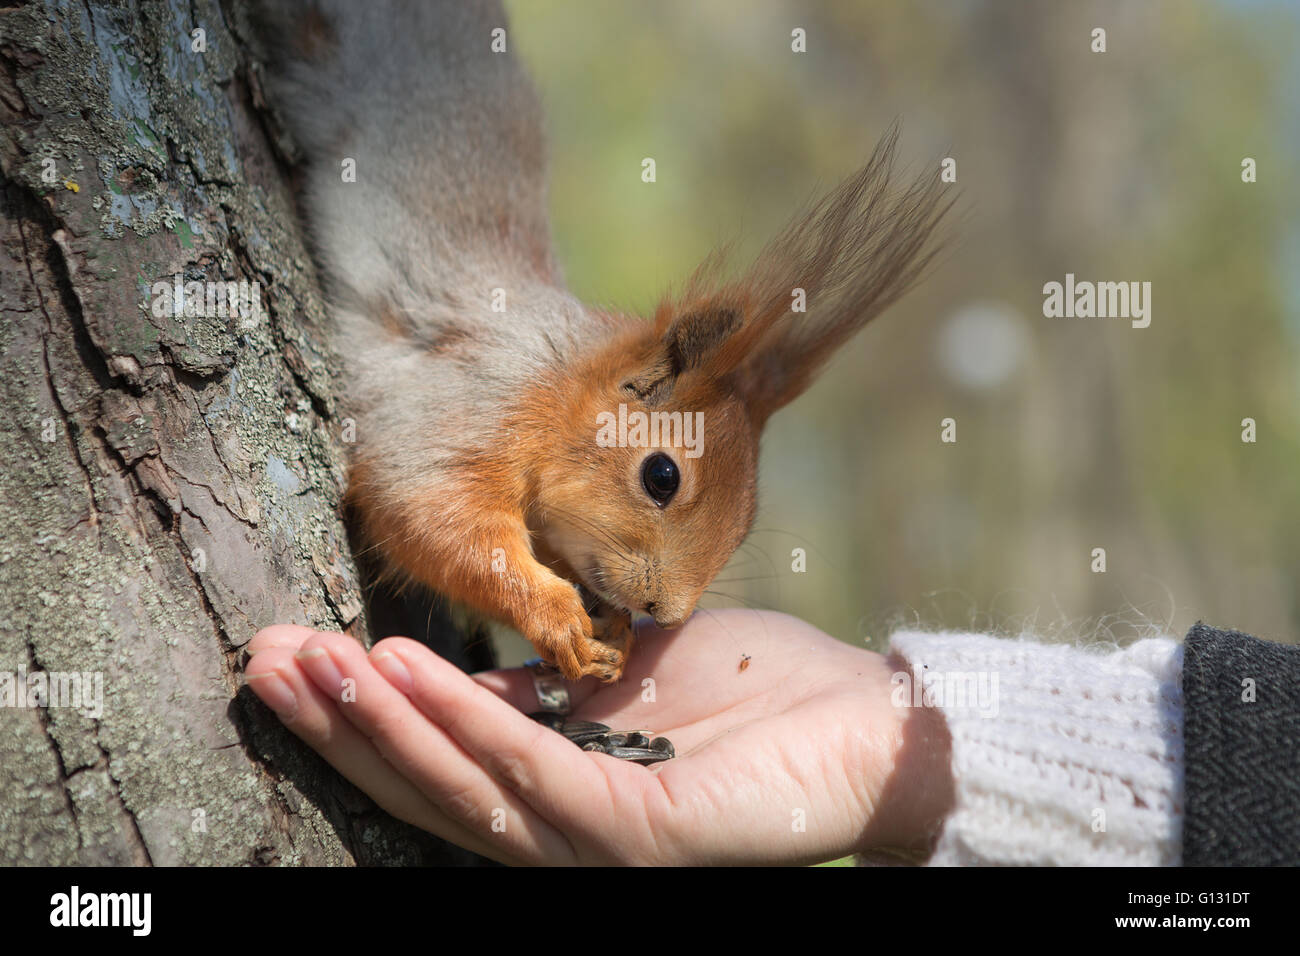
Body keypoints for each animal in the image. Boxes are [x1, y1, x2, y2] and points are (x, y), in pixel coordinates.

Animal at [261, 0, 950, 682]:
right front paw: (555, 616)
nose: (664, 614)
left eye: (747, 524)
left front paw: (611, 627)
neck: (559, 377)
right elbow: (429, 508)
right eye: (662, 476)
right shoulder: (466, 404)